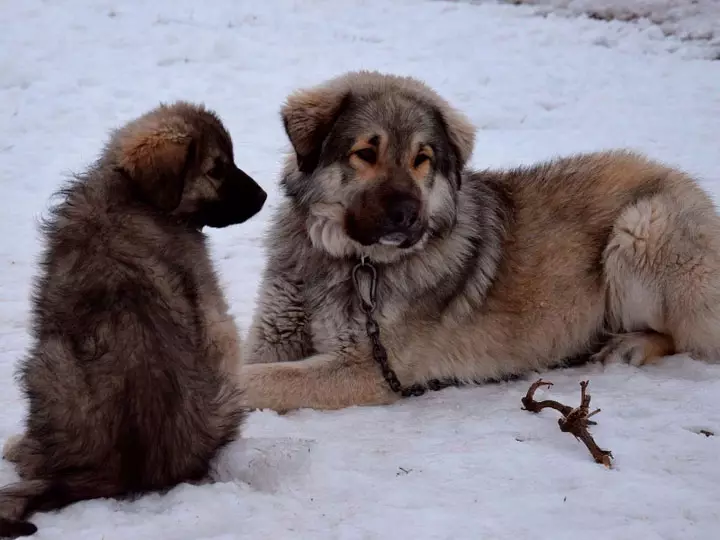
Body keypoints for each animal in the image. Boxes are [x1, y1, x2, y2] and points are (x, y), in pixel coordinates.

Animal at [242, 69, 720, 412]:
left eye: (422, 160)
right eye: (365, 153)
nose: (406, 215)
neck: (350, 260)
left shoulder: (367, 367)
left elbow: (258, 380)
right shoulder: (274, 335)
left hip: (641, 227)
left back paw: (629, 346)